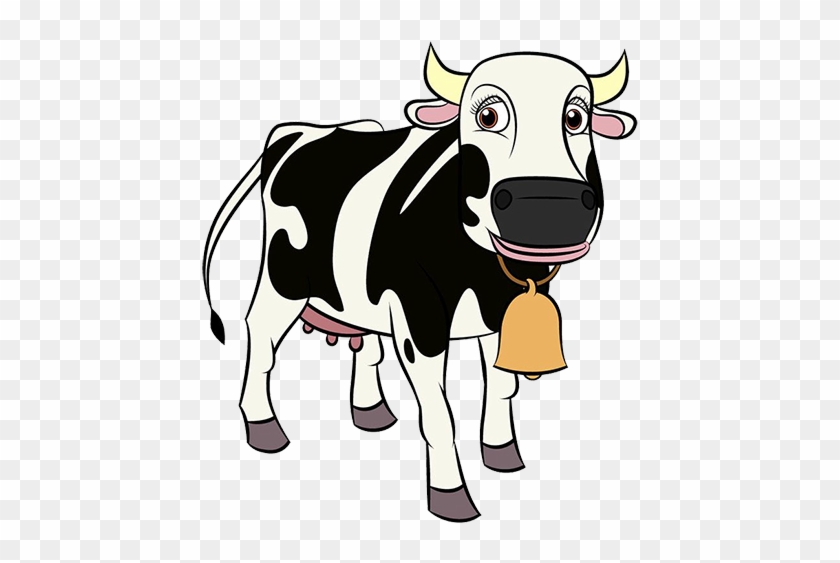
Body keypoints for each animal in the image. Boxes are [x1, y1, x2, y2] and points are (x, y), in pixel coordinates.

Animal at [202, 46, 636, 522]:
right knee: (260, 337)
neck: (482, 272)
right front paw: (450, 493)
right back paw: (263, 425)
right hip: (284, 279)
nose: (547, 205)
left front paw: (502, 452)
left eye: (576, 117)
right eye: (487, 116)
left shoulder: (499, 319)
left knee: (367, 345)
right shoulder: (419, 320)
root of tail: (300, 131)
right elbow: (439, 415)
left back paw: (371, 410)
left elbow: (502, 387)